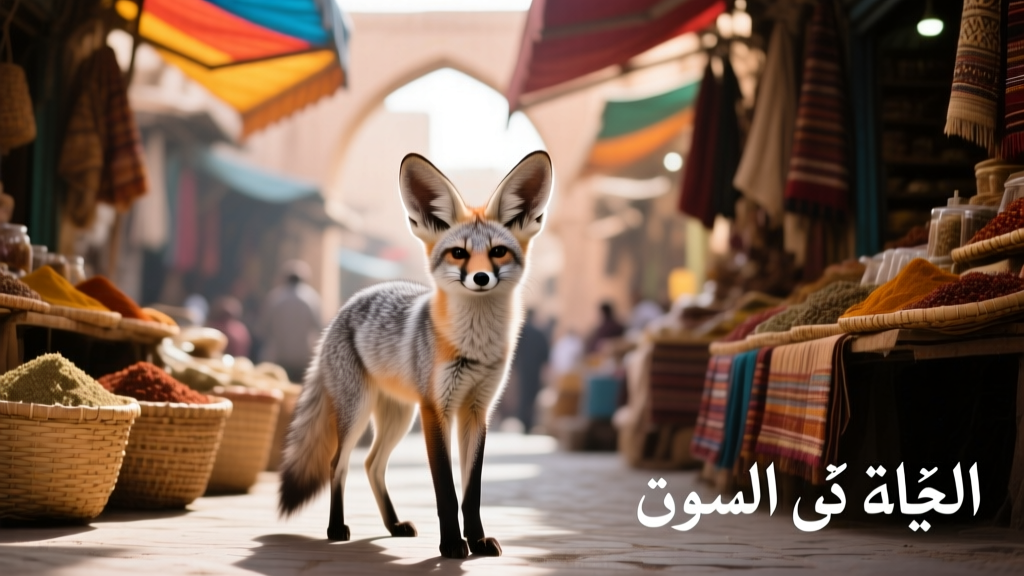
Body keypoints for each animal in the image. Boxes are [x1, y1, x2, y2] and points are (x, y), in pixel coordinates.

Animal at [277, 150, 553, 559]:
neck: (474, 346)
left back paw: (393, 525)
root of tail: (348, 305)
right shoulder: (436, 409)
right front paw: (453, 544)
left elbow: (471, 492)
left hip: (398, 417)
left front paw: (477, 540)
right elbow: (446, 492)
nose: (481, 279)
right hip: (360, 413)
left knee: (373, 465)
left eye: (498, 252)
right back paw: (336, 528)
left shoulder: (477, 410)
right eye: (459, 254)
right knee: (337, 465)